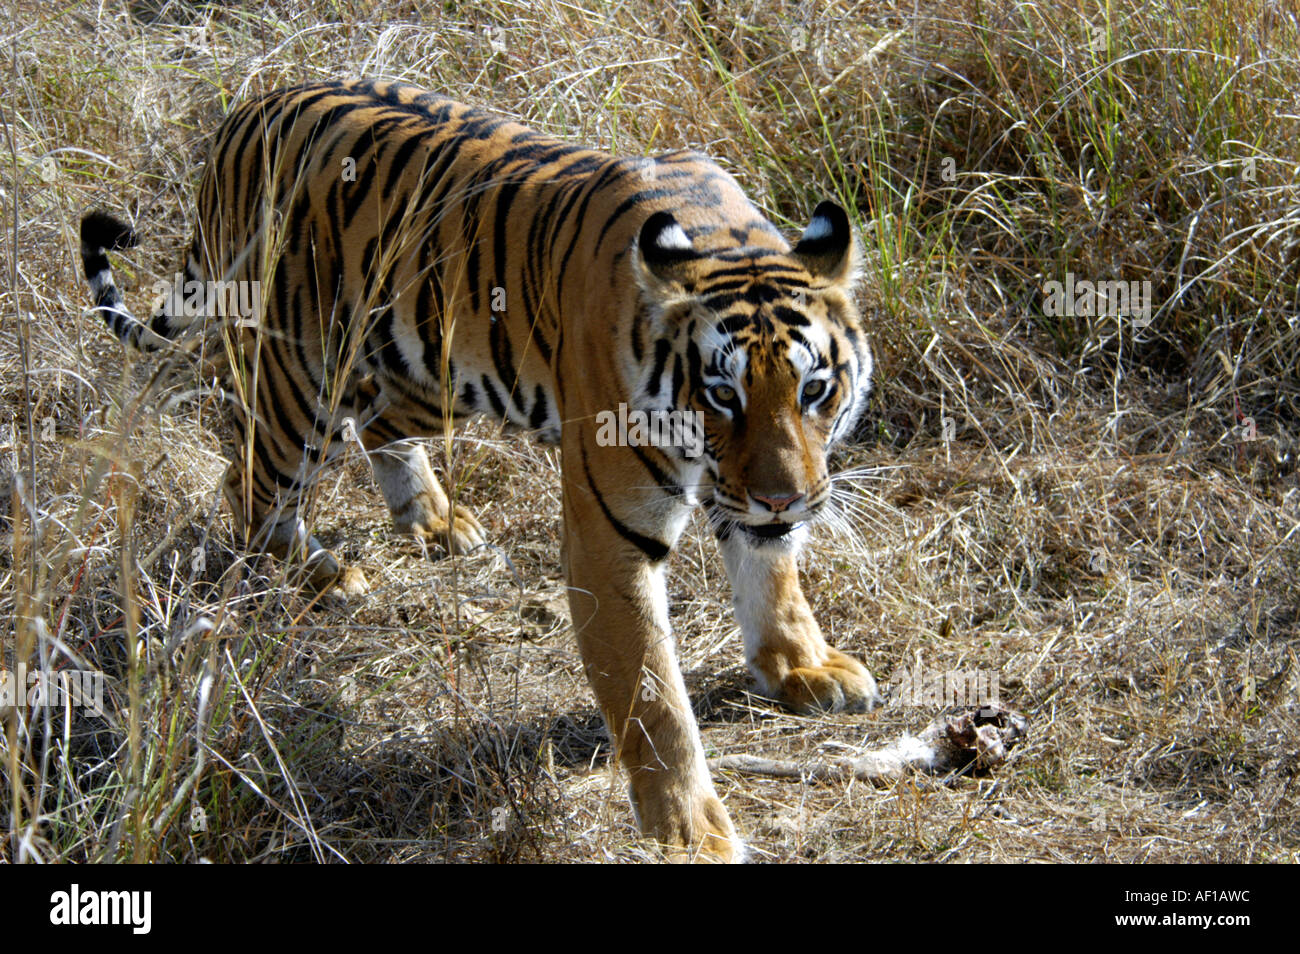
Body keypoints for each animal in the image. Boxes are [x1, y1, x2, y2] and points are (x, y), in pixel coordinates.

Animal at [80, 78, 881, 862]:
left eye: (814, 389)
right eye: (721, 395)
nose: (783, 501)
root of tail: (244, 113)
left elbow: (774, 579)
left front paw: (801, 667)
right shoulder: (611, 536)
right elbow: (652, 696)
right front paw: (691, 834)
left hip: (426, 367)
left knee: (376, 426)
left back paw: (434, 522)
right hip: (300, 379)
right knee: (247, 481)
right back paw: (321, 575)